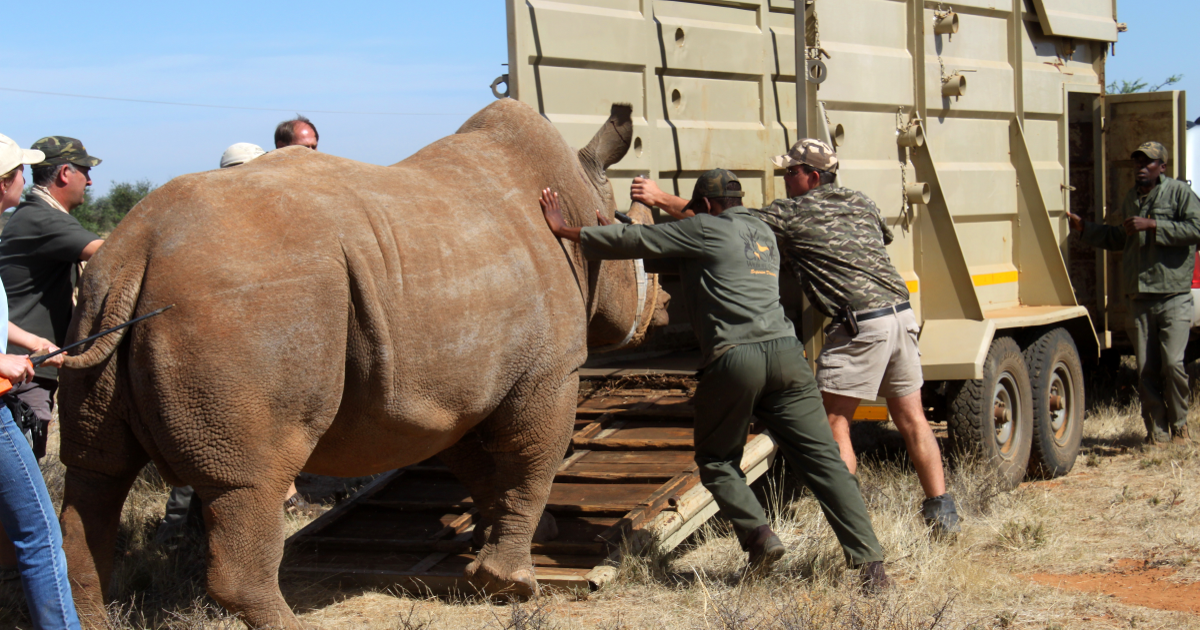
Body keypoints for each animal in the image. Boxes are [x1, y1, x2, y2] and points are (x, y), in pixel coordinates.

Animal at [56, 100, 666, 628]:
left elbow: (480, 465)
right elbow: (534, 456)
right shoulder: (549, 370)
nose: (655, 305)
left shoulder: (459, 387)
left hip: (101, 297)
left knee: (95, 475)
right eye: (626, 233)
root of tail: (138, 249)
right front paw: (511, 584)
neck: (574, 193)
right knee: (248, 482)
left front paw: (534, 534)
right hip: (240, 309)